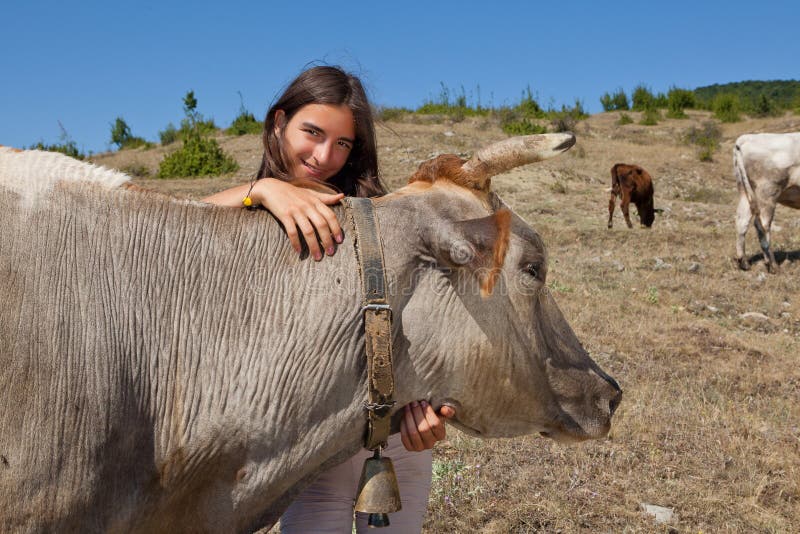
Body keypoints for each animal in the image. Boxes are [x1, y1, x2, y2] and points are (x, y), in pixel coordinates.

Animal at [734, 132, 800, 273]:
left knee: (742, 222)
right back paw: (772, 264)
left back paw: (743, 262)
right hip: (768, 192)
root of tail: (746, 138)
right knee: (762, 225)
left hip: (744, 191)